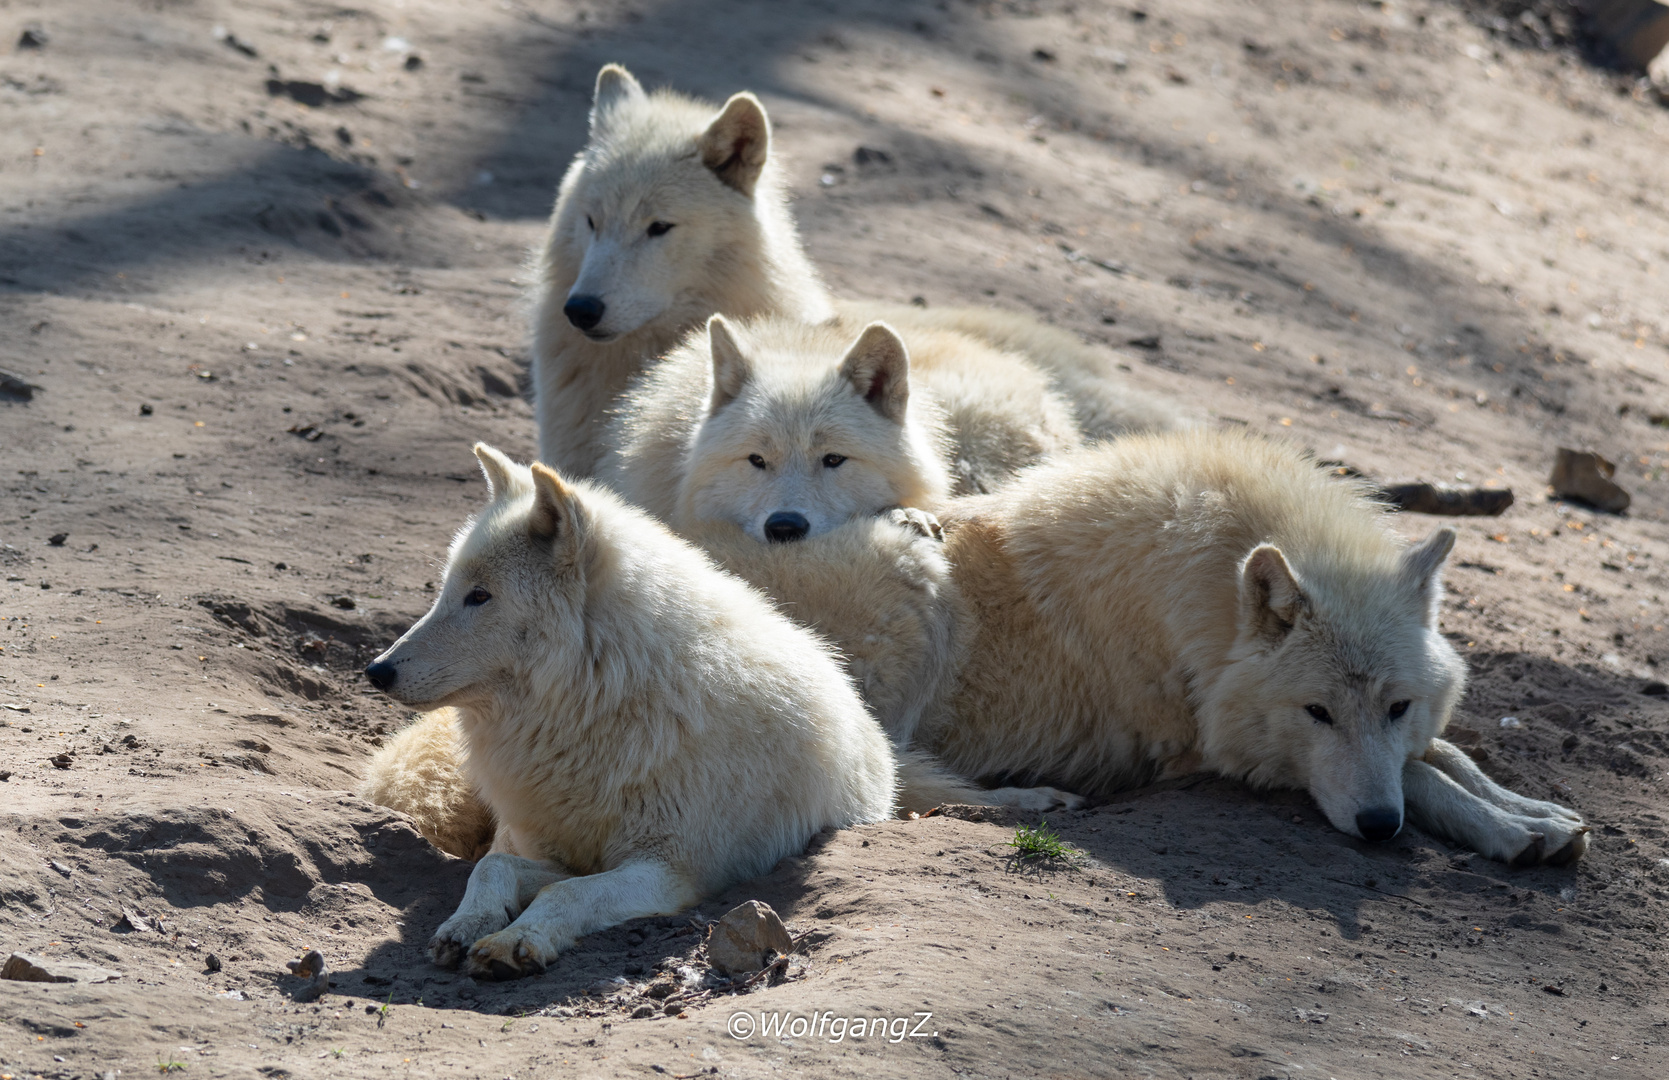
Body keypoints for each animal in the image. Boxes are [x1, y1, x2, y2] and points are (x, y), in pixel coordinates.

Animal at [359, 444, 894, 978]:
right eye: (447, 591)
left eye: (480, 596)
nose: (376, 670)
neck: (608, 699)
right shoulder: (561, 853)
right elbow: (493, 867)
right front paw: (466, 924)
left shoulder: (668, 870)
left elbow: (565, 893)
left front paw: (516, 940)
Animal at [712, 430, 1590, 866]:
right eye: (1315, 713)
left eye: (1396, 705)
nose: (1378, 829)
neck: (1204, 594)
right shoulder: (1211, 754)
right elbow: (1421, 776)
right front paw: (1509, 832)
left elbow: (1441, 755)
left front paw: (1535, 813)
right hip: (907, 562)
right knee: (895, 776)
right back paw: (1030, 800)